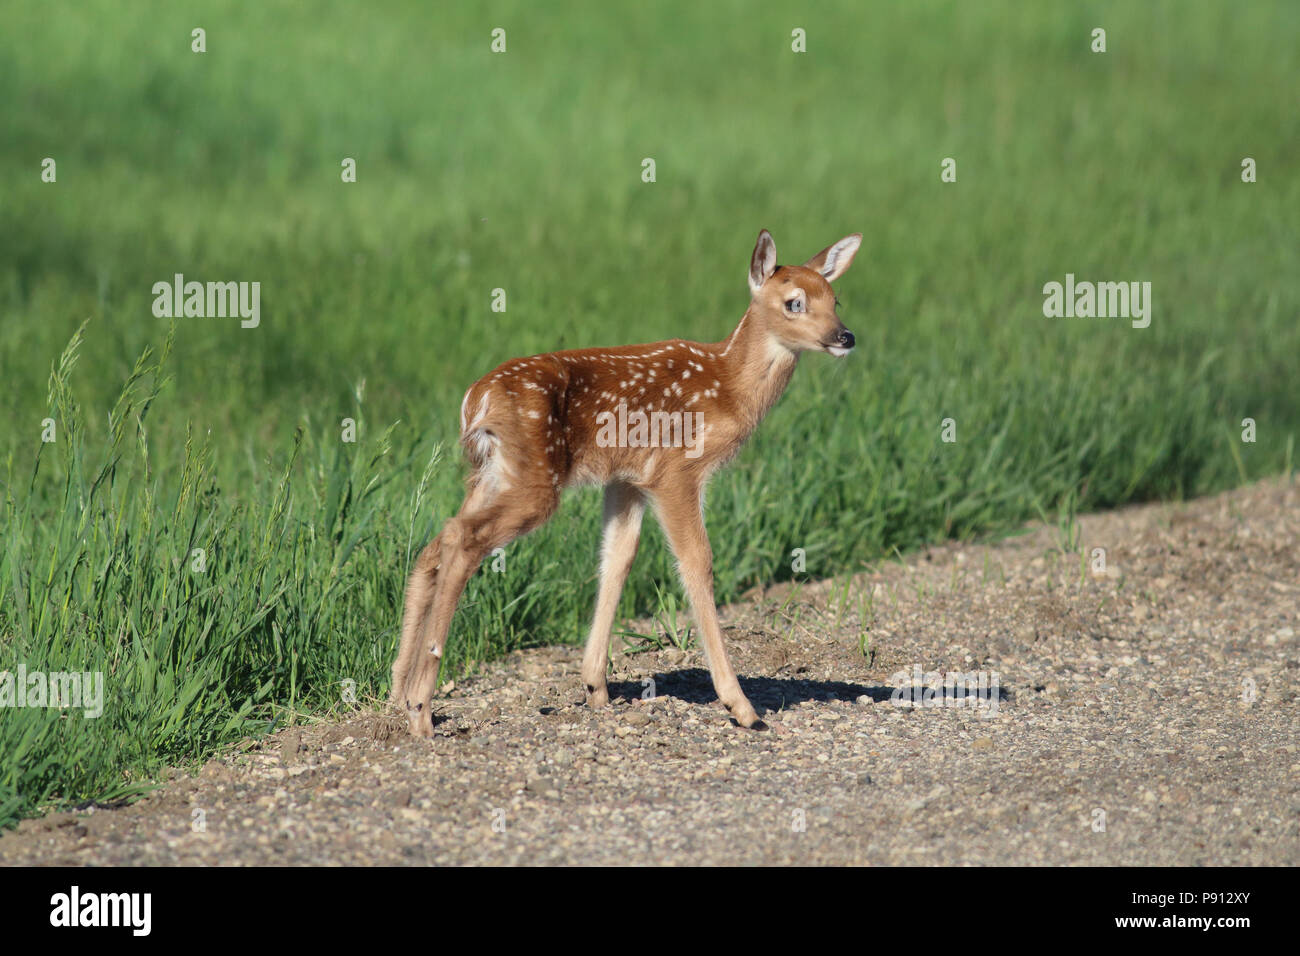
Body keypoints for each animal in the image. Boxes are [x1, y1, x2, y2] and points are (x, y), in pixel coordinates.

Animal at [390, 229, 861, 738]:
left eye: (835, 299)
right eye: (795, 302)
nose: (845, 336)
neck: (729, 387)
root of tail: (474, 400)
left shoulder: (627, 478)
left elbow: (617, 556)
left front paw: (595, 688)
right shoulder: (676, 470)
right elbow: (697, 562)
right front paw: (741, 706)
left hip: (493, 474)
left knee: (438, 540)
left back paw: (397, 690)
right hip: (534, 481)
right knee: (462, 539)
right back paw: (421, 707)